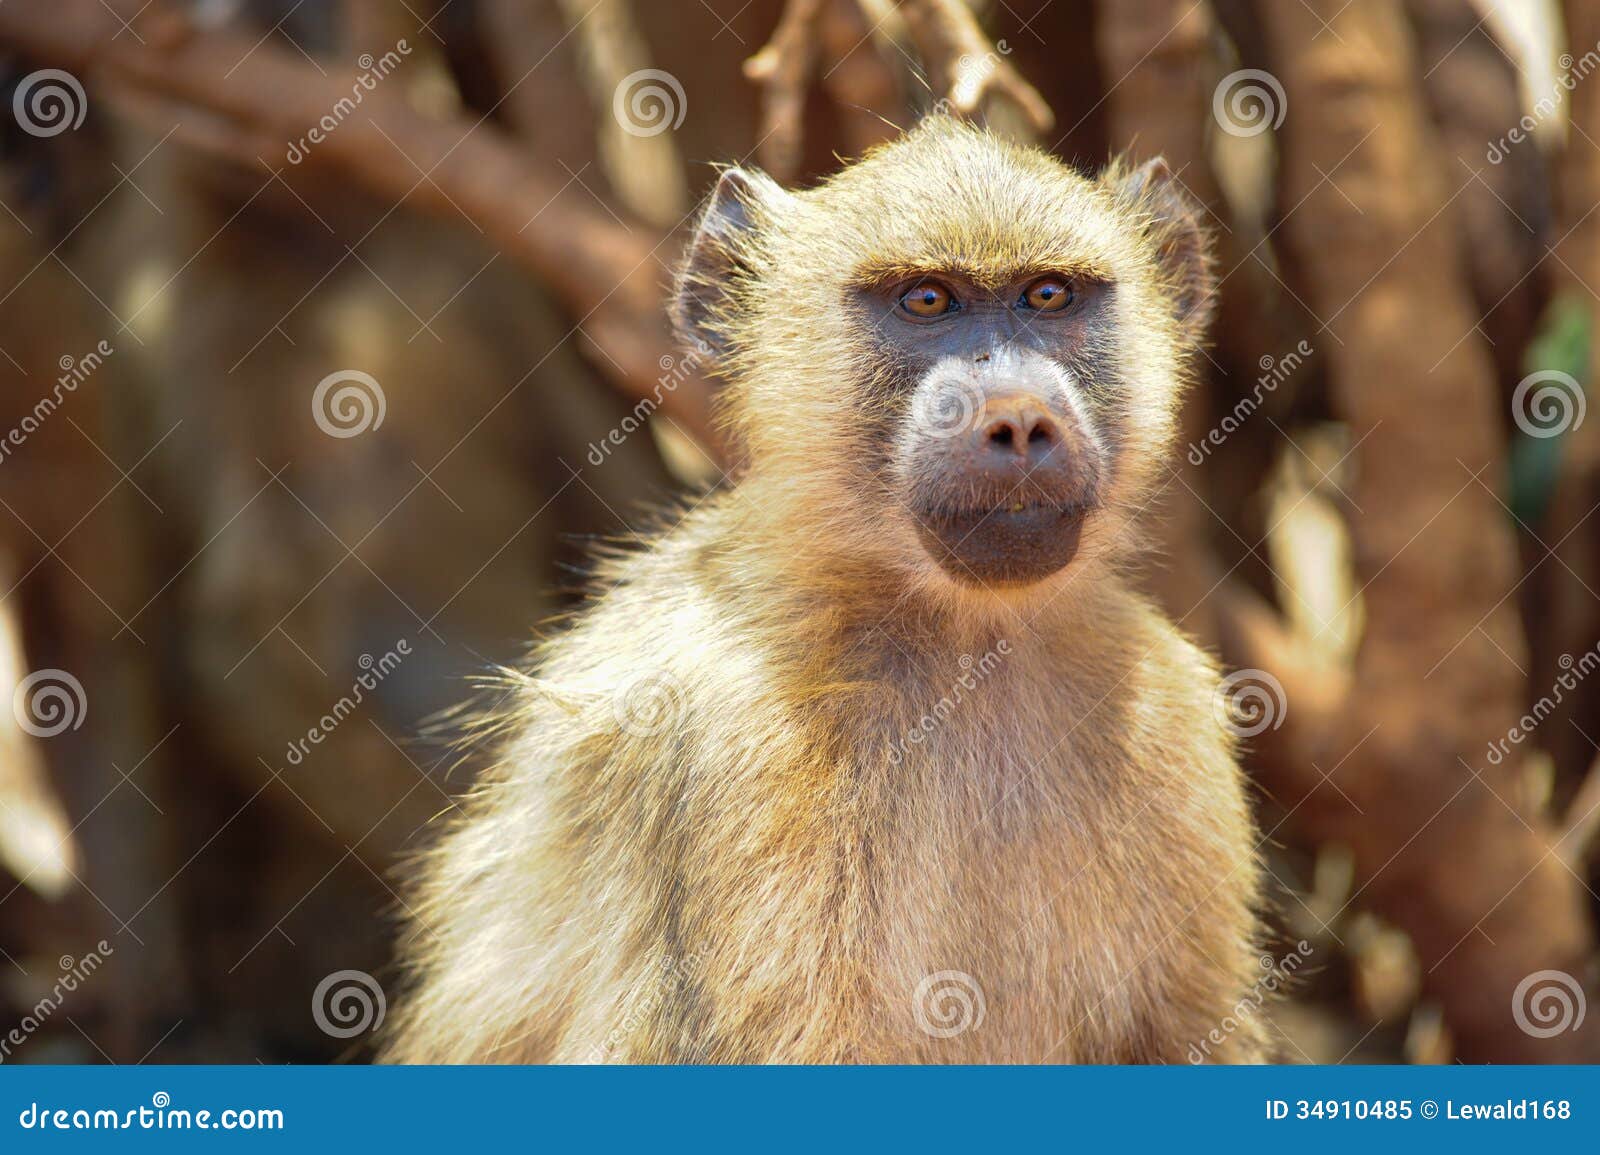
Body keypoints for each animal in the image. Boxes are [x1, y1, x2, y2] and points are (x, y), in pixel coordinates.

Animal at [384, 116, 1268, 1064]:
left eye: (1048, 296)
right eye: (927, 302)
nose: (1019, 419)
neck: (963, 641)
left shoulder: (1171, 711)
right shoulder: (743, 743)